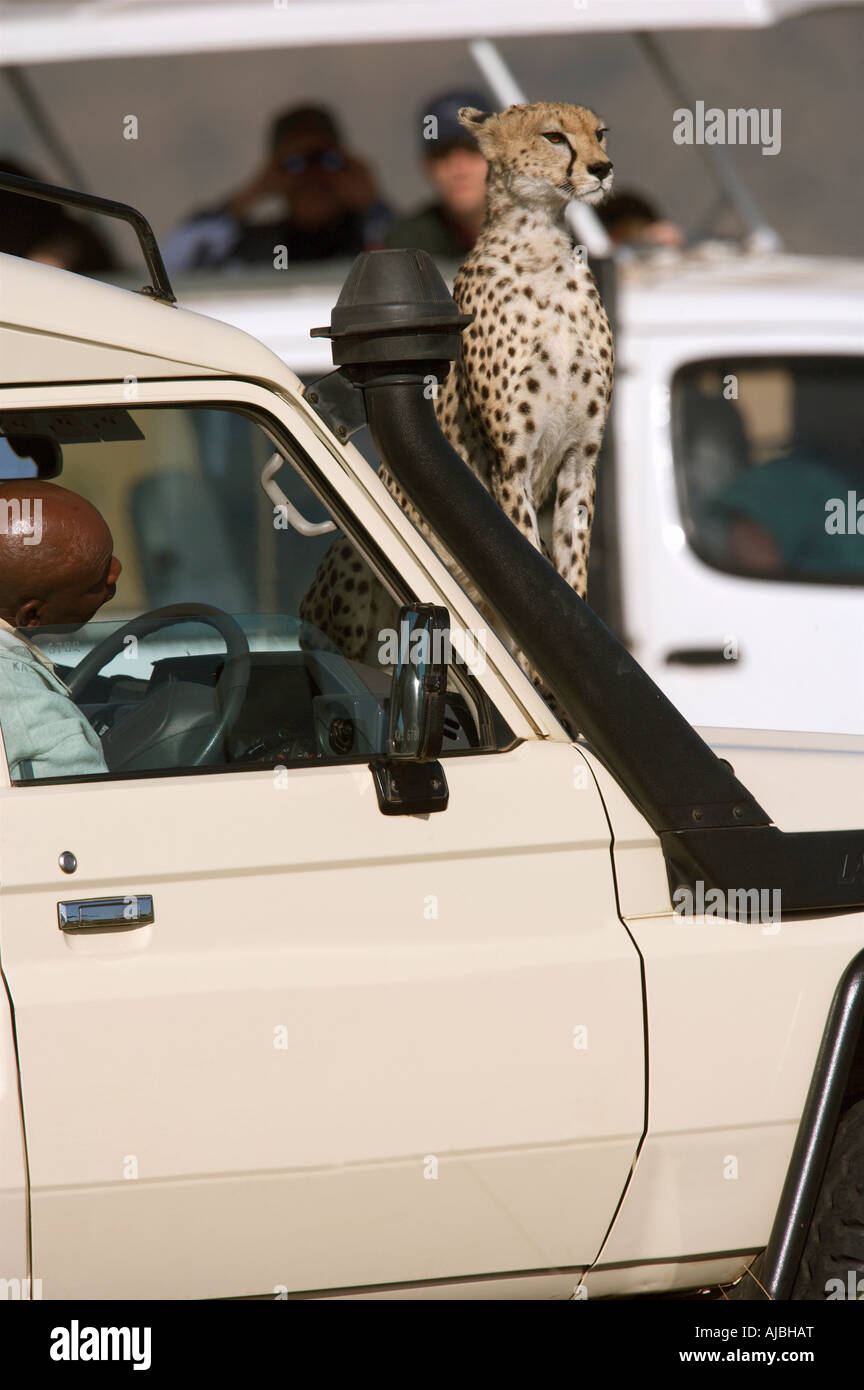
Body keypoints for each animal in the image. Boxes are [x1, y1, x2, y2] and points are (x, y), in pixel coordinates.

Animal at [299, 100, 615, 733]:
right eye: (553, 136)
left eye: (600, 133)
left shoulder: (580, 462)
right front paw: (540, 689)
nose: (602, 168)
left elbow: (570, 579)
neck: (542, 250)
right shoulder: (509, 462)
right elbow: (527, 565)